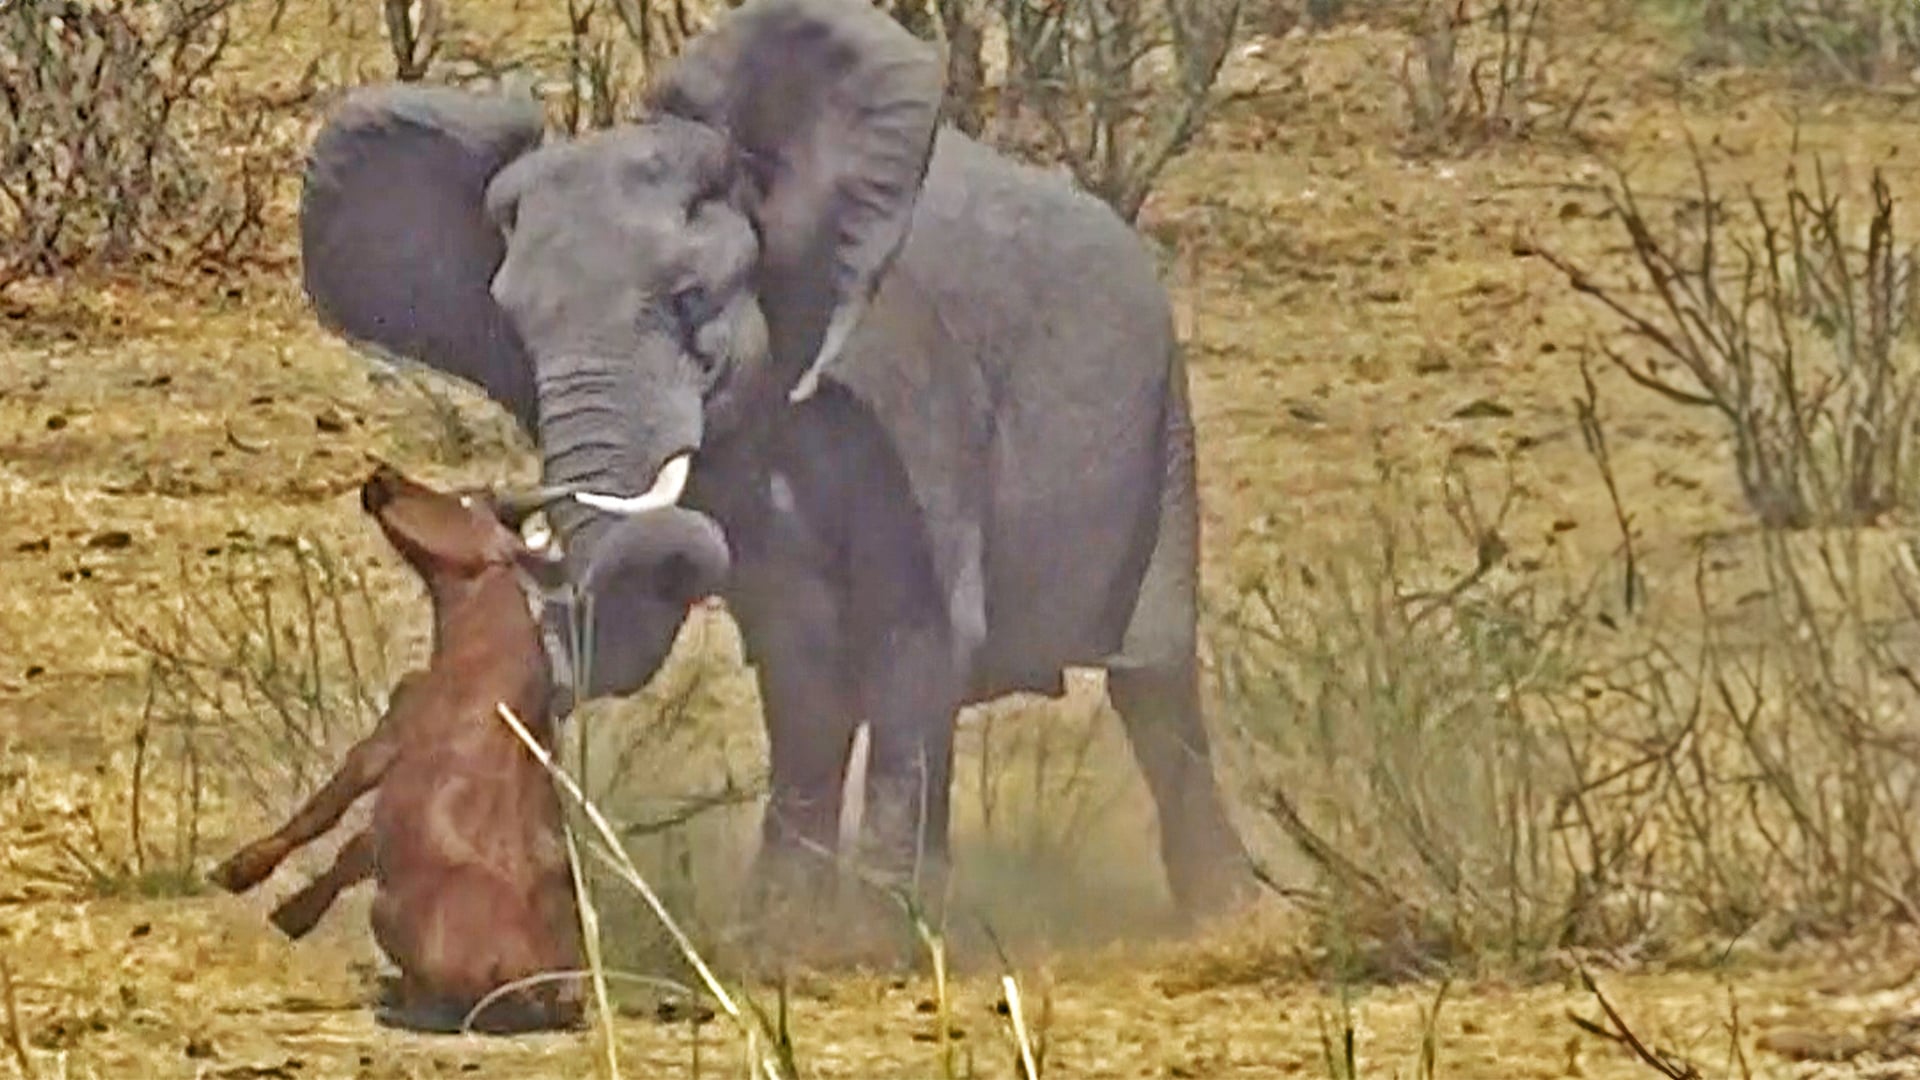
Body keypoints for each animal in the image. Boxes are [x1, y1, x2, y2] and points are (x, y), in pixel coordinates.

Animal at [296, 0, 1253, 921]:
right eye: (513, 330)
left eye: (689, 301)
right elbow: (801, 668)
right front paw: (785, 934)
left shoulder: (908, 398)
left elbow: (921, 640)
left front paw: (873, 937)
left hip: (1165, 427)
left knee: (1153, 681)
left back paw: (1224, 916)